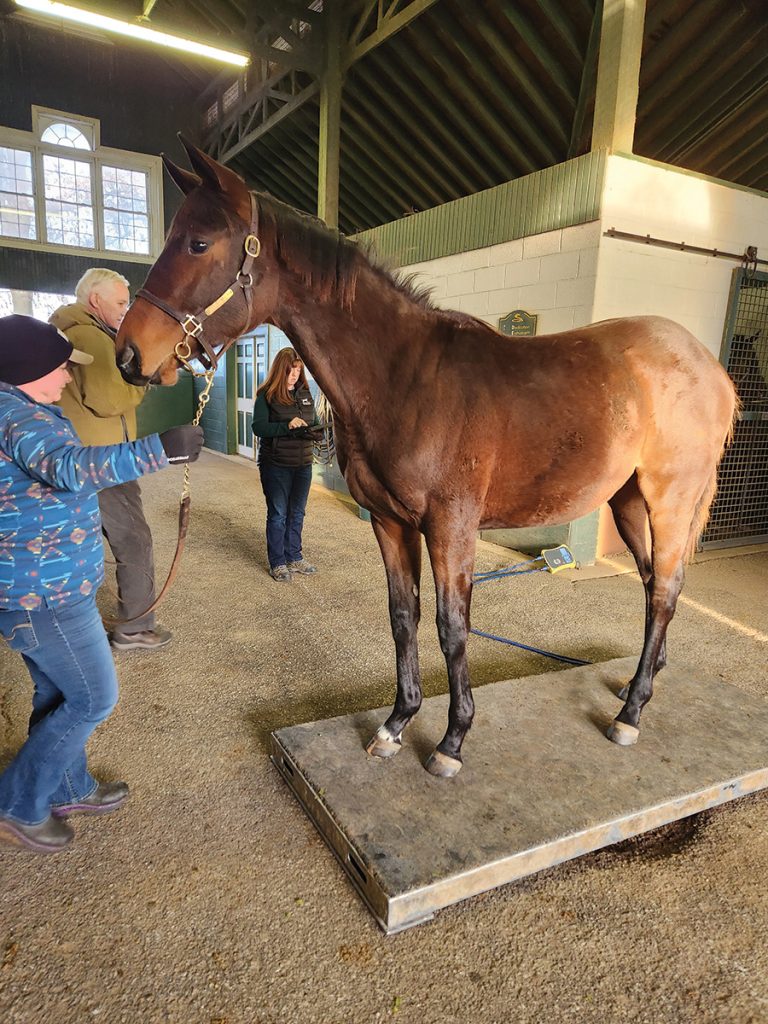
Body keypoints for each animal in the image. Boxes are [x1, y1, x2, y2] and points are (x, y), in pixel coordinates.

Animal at [116, 138, 737, 778]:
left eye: (198, 243)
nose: (130, 354)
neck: (405, 378)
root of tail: (706, 365)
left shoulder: (450, 527)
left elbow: (452, 627)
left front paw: (452, 740)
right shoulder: (392, 524)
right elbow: (403, 617)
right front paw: (396, 722)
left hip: (669, 499)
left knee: (664, 589)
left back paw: (631, 714)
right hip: (628, 500)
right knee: (654, 584)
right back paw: (639, 685)